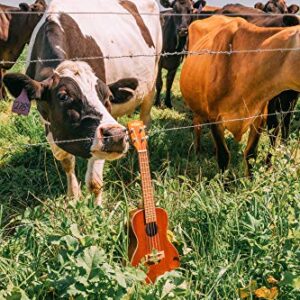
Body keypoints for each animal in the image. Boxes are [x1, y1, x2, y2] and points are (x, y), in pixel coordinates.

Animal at [2, 0, 162, 204]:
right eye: (63, 96)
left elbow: (94, 181)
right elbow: (66, 161)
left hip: (152, 82)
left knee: (145, 119)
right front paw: (73, 196)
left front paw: (98, 207)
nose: (117, 135)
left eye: (108, 96)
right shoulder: (50, 123)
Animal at [180, 15, 300, 176]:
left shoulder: (260, 117)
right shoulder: (215, 117)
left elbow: (251, 154)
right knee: (197, 122)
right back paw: (197, 151)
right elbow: (223, 156)